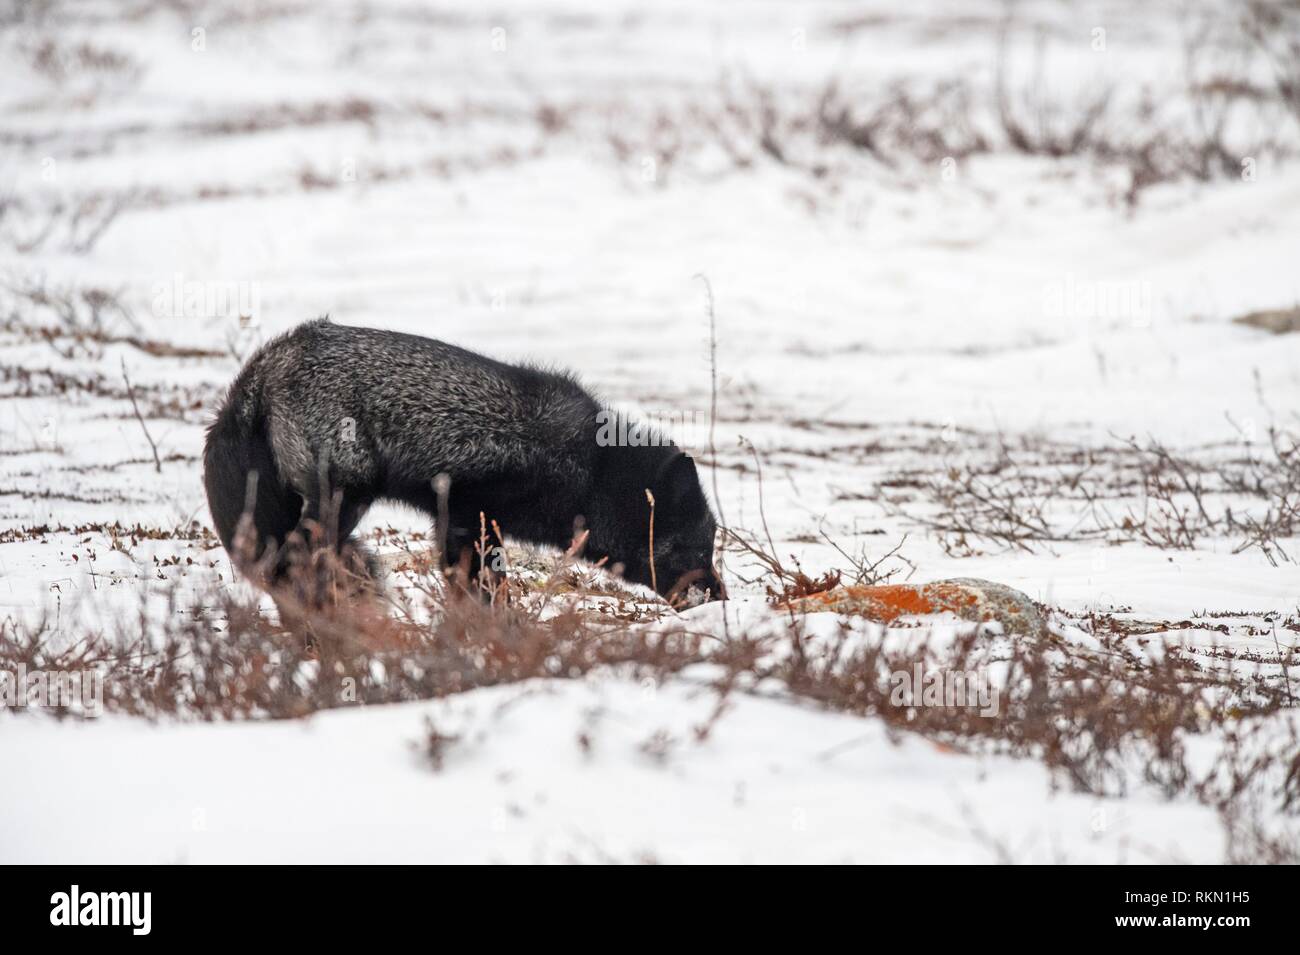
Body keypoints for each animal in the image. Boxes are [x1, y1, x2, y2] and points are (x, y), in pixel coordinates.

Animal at [202, 319, 724, 604]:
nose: (719, 598)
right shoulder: (470, 517)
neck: (589, 470)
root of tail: (269, 363)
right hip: (343, 496)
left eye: (709, 545)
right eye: (690, 549)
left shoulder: (458, 522)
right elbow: (483, 589)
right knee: (297, 565)